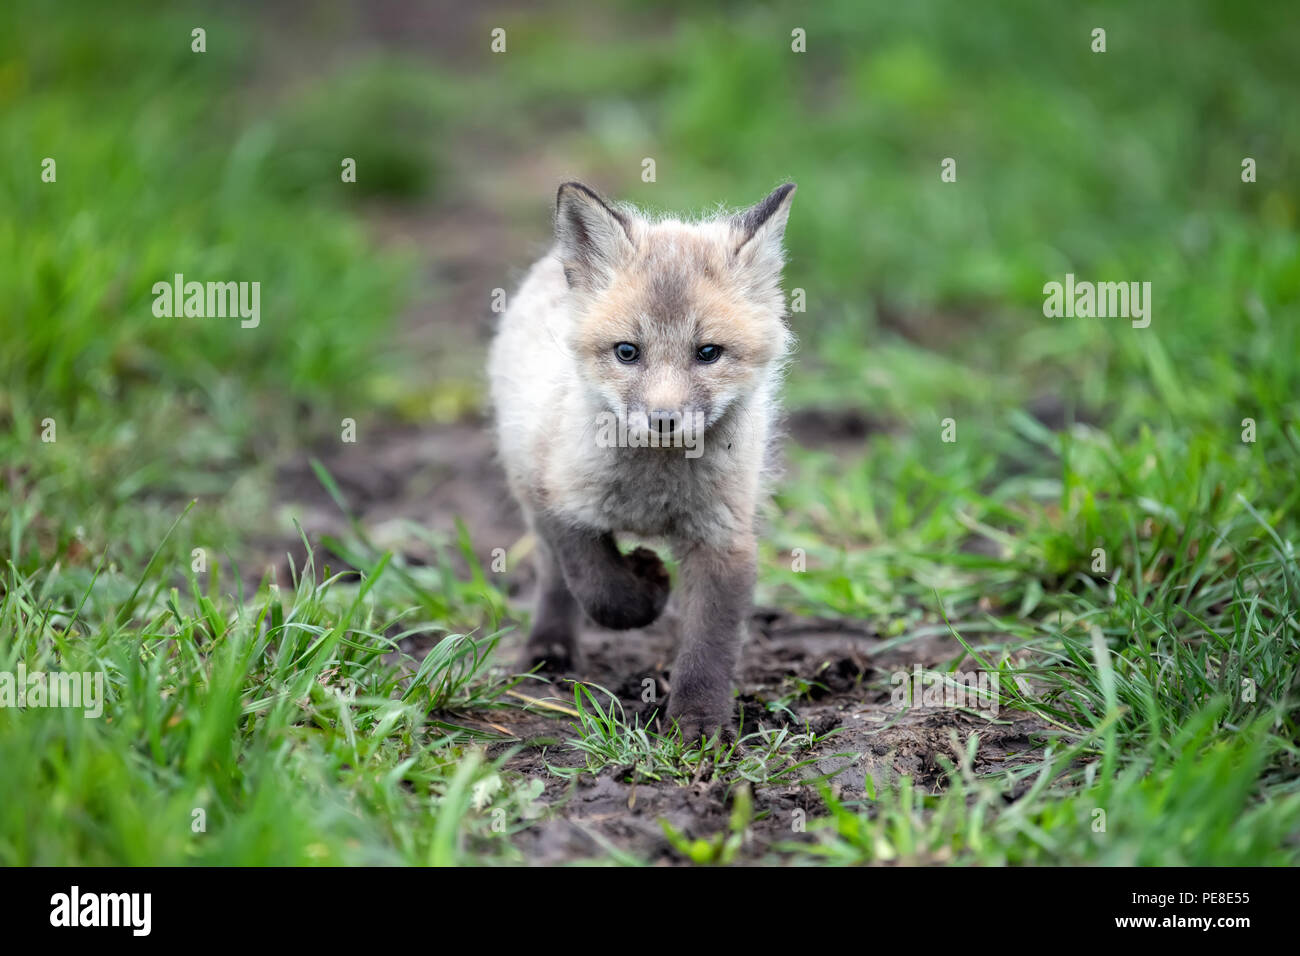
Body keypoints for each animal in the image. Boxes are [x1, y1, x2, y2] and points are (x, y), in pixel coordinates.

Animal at [488, 180, 797, 740]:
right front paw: (647, 583)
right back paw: (549, 651)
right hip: (530, 494)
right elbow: (604, 592)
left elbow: (710, 644)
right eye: (627, 351)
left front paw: (698, 725)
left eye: (708, 352)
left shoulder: (724, 536)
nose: (663, 419)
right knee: (554, 580)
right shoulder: (561, 498)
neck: (654, 488)